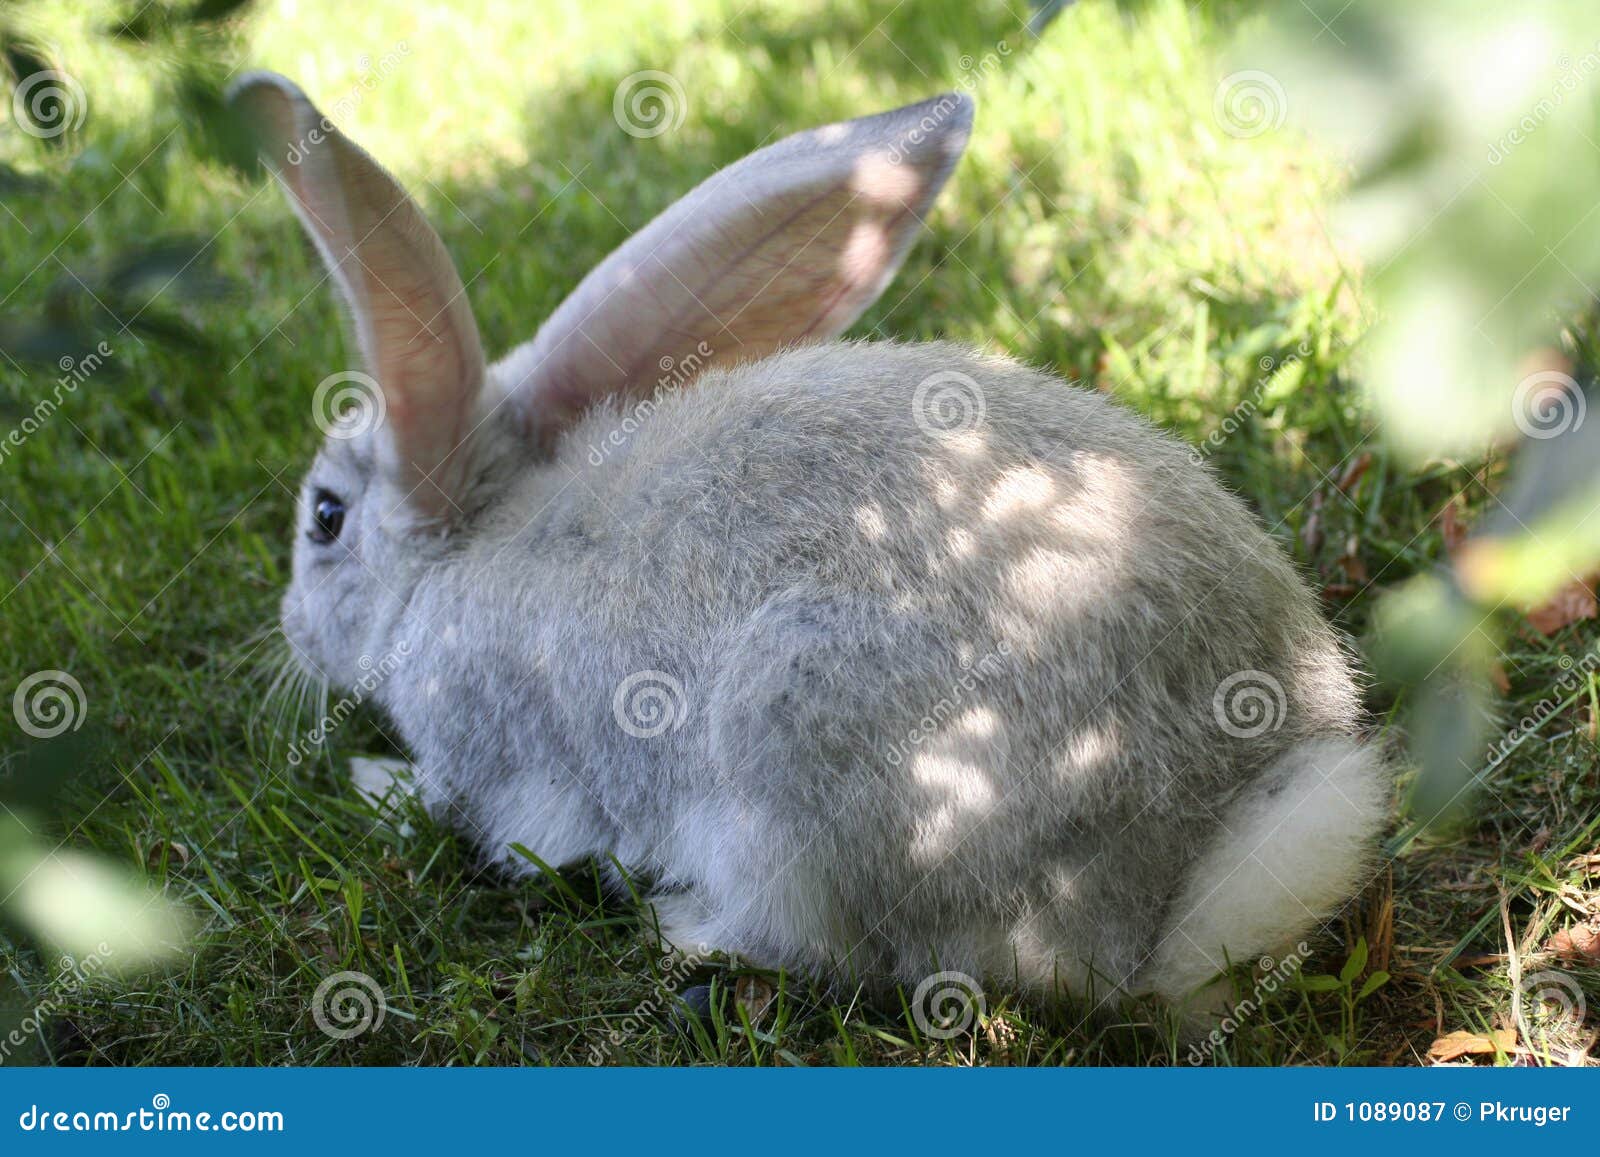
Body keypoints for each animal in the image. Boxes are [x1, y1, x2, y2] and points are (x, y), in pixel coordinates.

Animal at [231, 71, 1388, 1011]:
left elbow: (455, 804)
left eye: (325, 517)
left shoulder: (487, 755)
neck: (462, 544)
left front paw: (371, 780)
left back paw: (682, 924)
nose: (286, 628)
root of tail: (1167, 893)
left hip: (794, 738)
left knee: (828, 946)